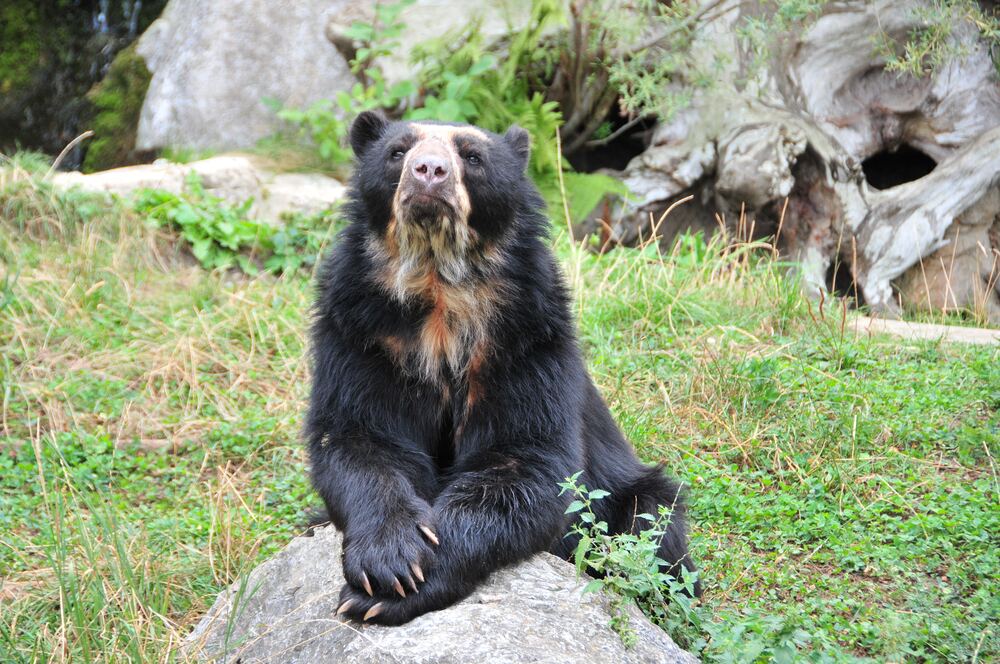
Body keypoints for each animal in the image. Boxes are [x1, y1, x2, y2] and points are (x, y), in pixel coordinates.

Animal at [308, 110, 700, 628]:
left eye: (472, 156)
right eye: (397, 151)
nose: (428, 171)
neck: (439, 283)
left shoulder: (524, 339)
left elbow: (524, 461)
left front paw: (388, 592)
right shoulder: (364, 330)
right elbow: (360, 437)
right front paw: (389, 561)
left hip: (631, 500)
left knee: (655, 535)